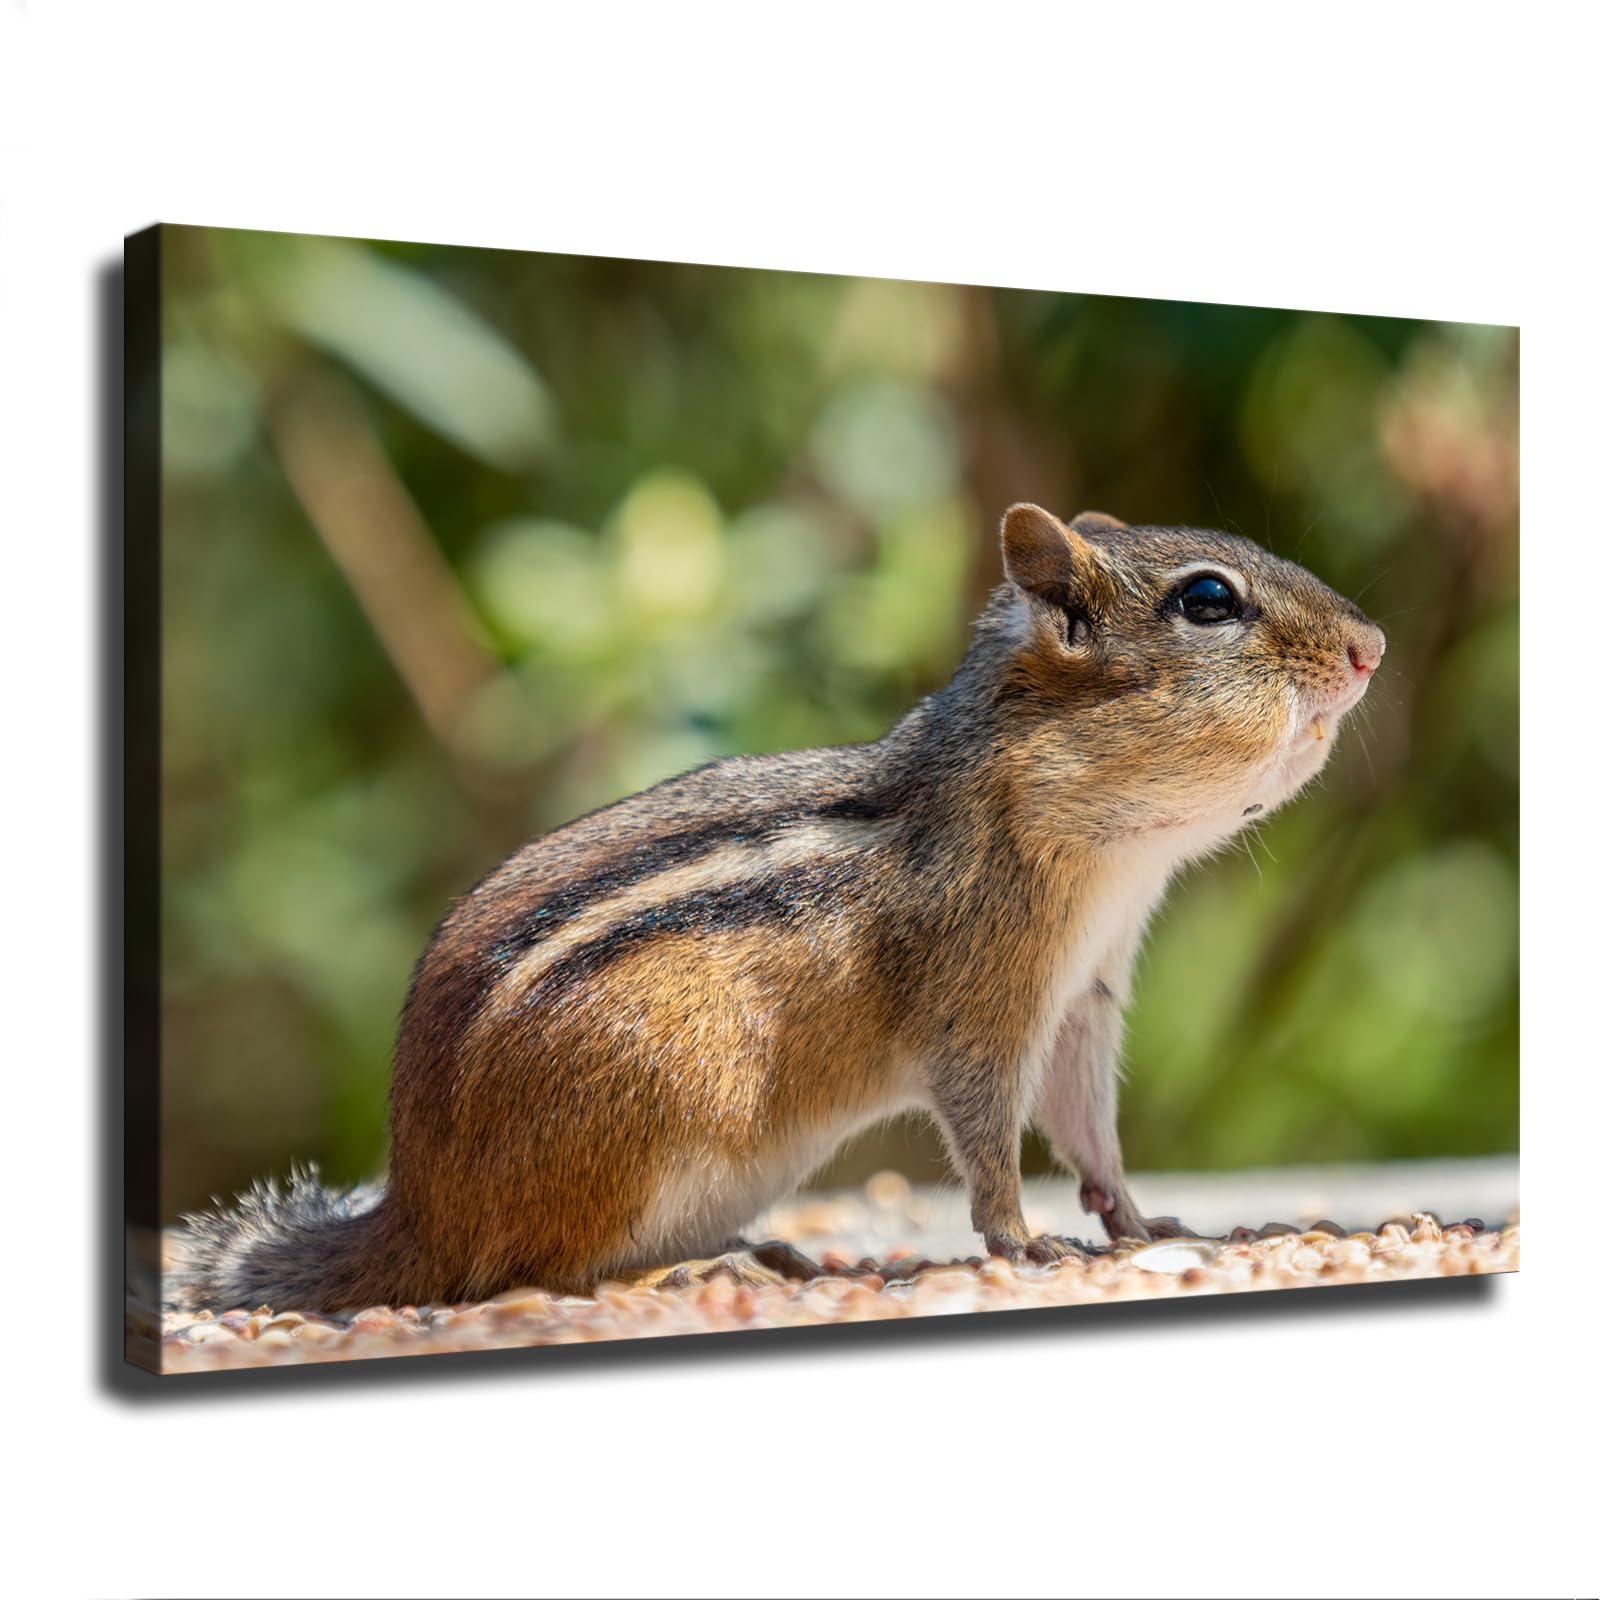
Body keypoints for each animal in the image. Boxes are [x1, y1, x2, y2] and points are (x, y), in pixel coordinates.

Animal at [173, 503, 1386, 1312]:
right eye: (1207, 600)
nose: (1372, 645)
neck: (1108, 855)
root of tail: (422, 1211)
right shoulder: (981, 1003)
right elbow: (987, 1133)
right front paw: (1021, 1241)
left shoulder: (1084, 999)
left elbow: (1092, 1130)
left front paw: (1142, 1226)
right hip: (654, 1107)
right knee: (534, 1271)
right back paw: (703, 1264)